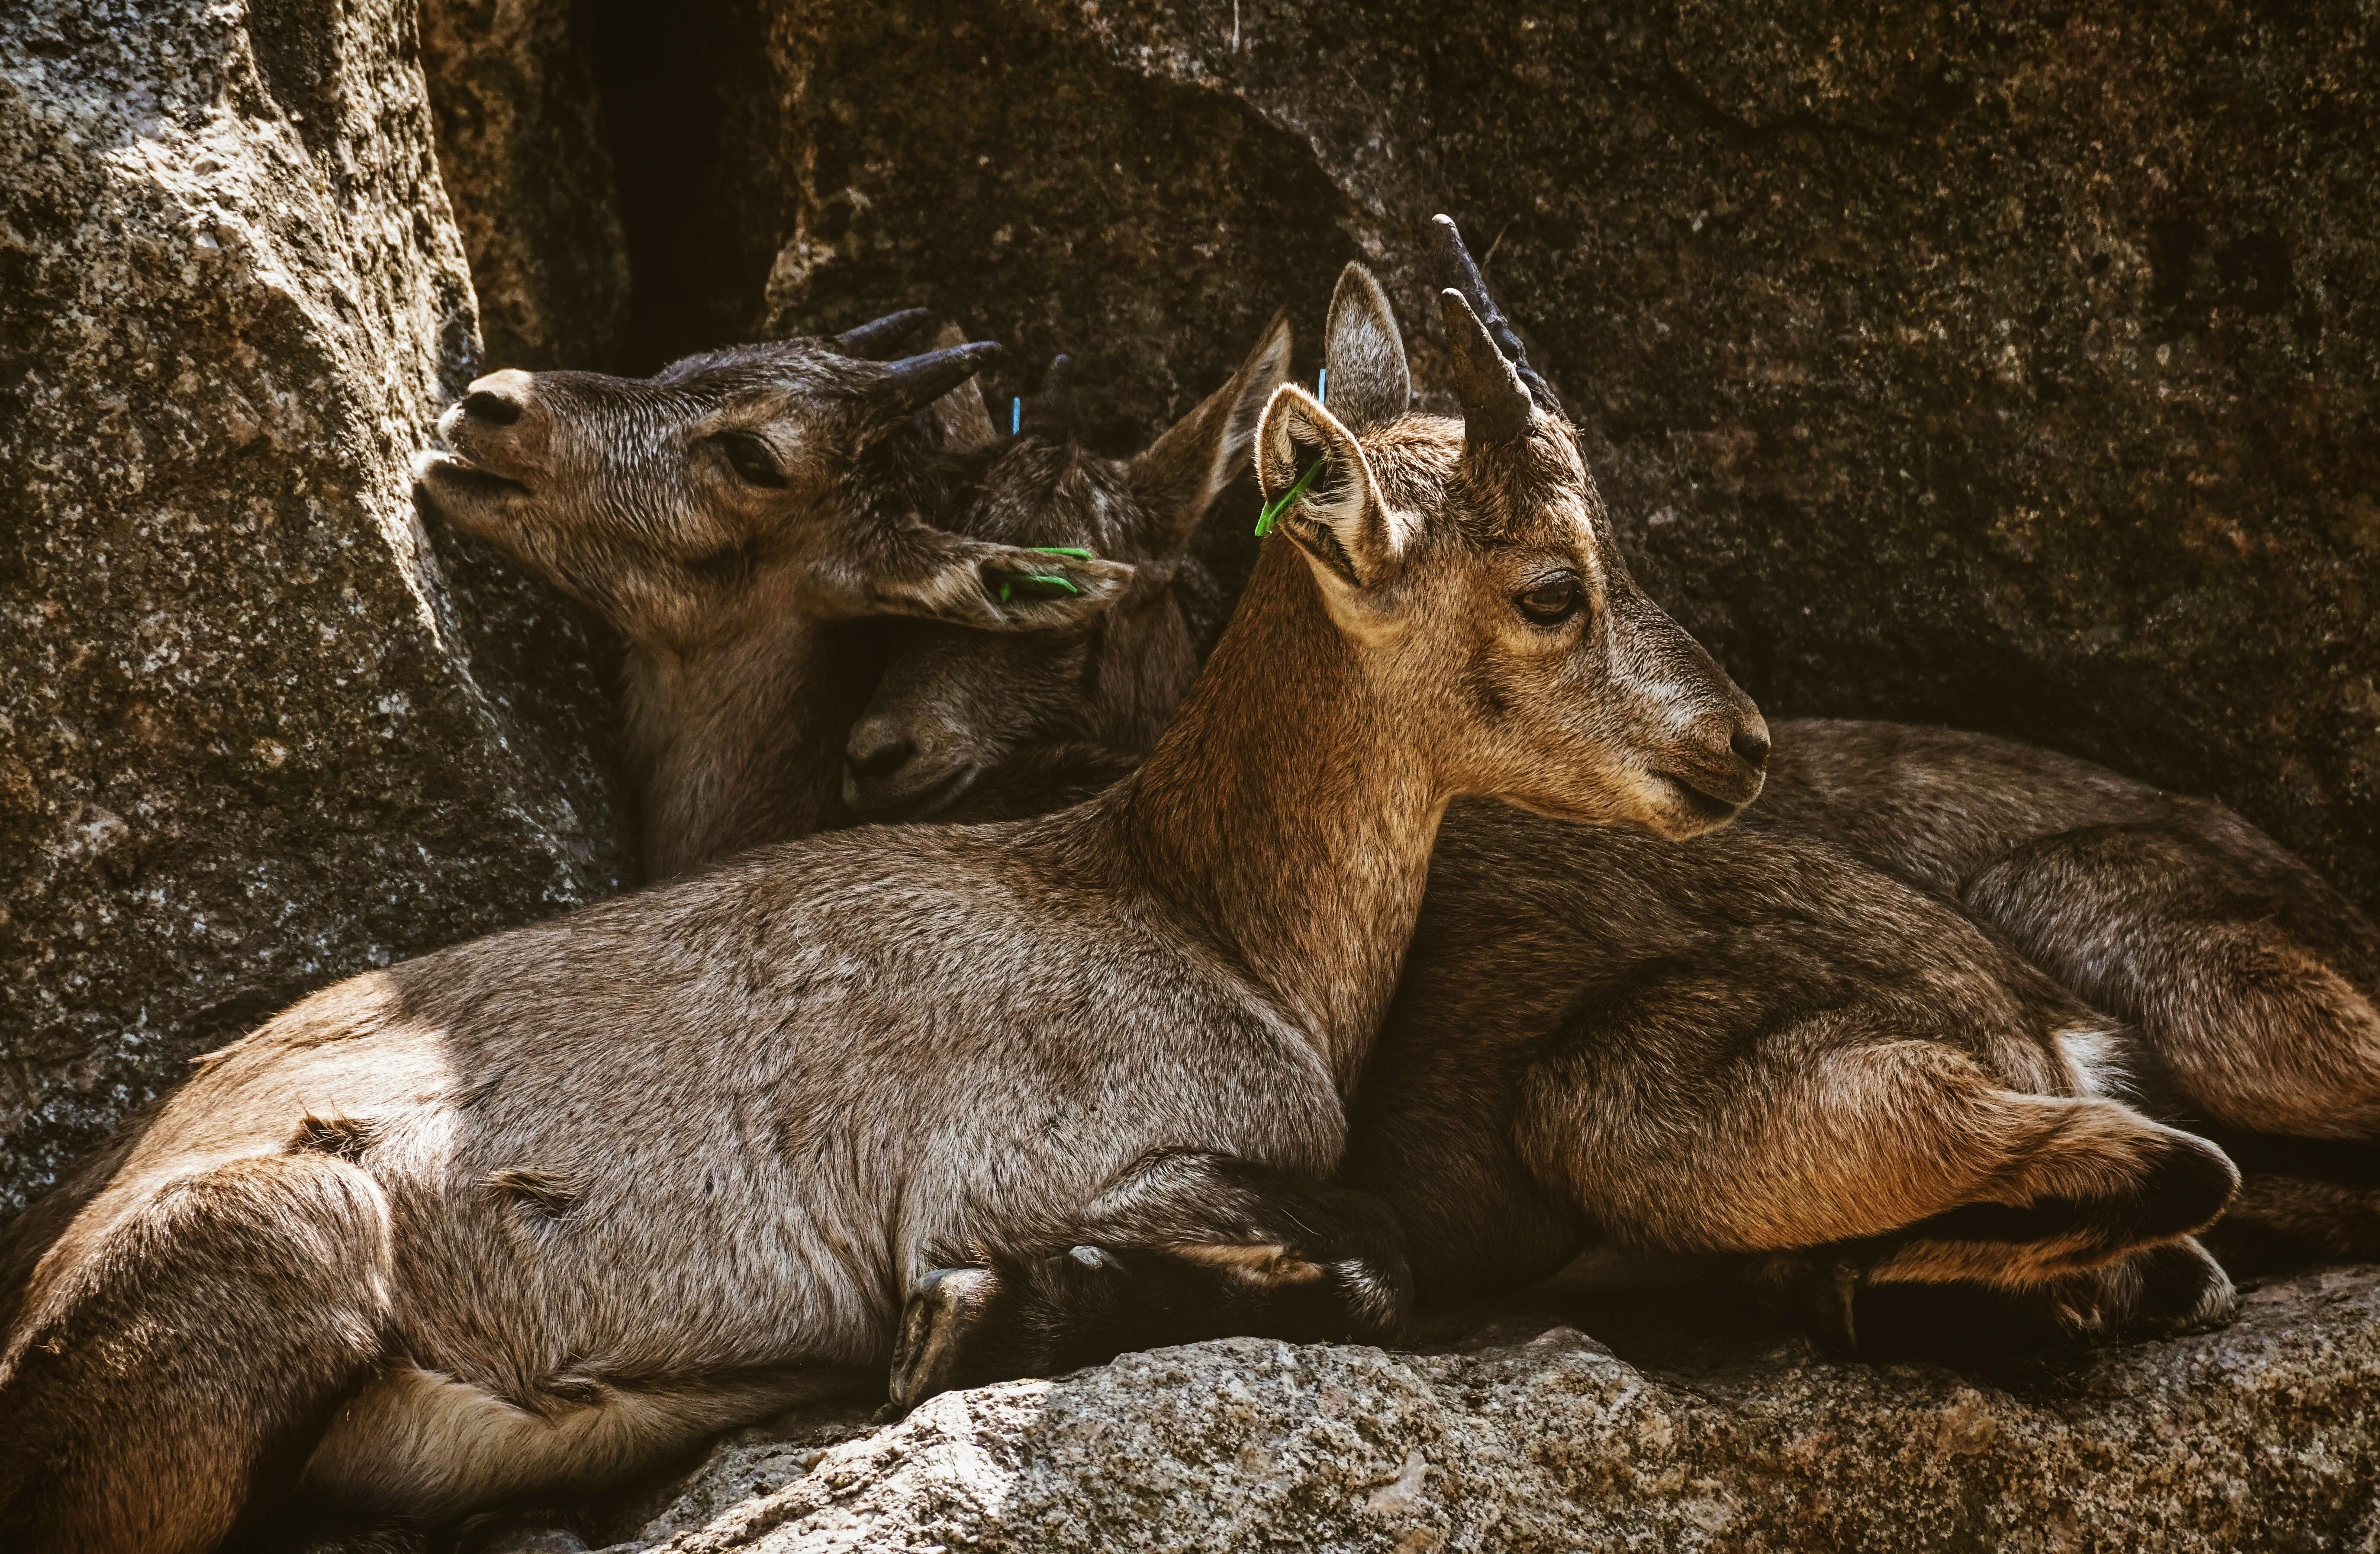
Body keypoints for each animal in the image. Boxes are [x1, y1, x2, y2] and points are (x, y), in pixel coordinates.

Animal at [0, 236, 1769, 1552]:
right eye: (1551, 588)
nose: (1740, 745)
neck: (1197, 910)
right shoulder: (1045, 1156)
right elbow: (1371, 1252)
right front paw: (980, 1320)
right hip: (286, 1231)